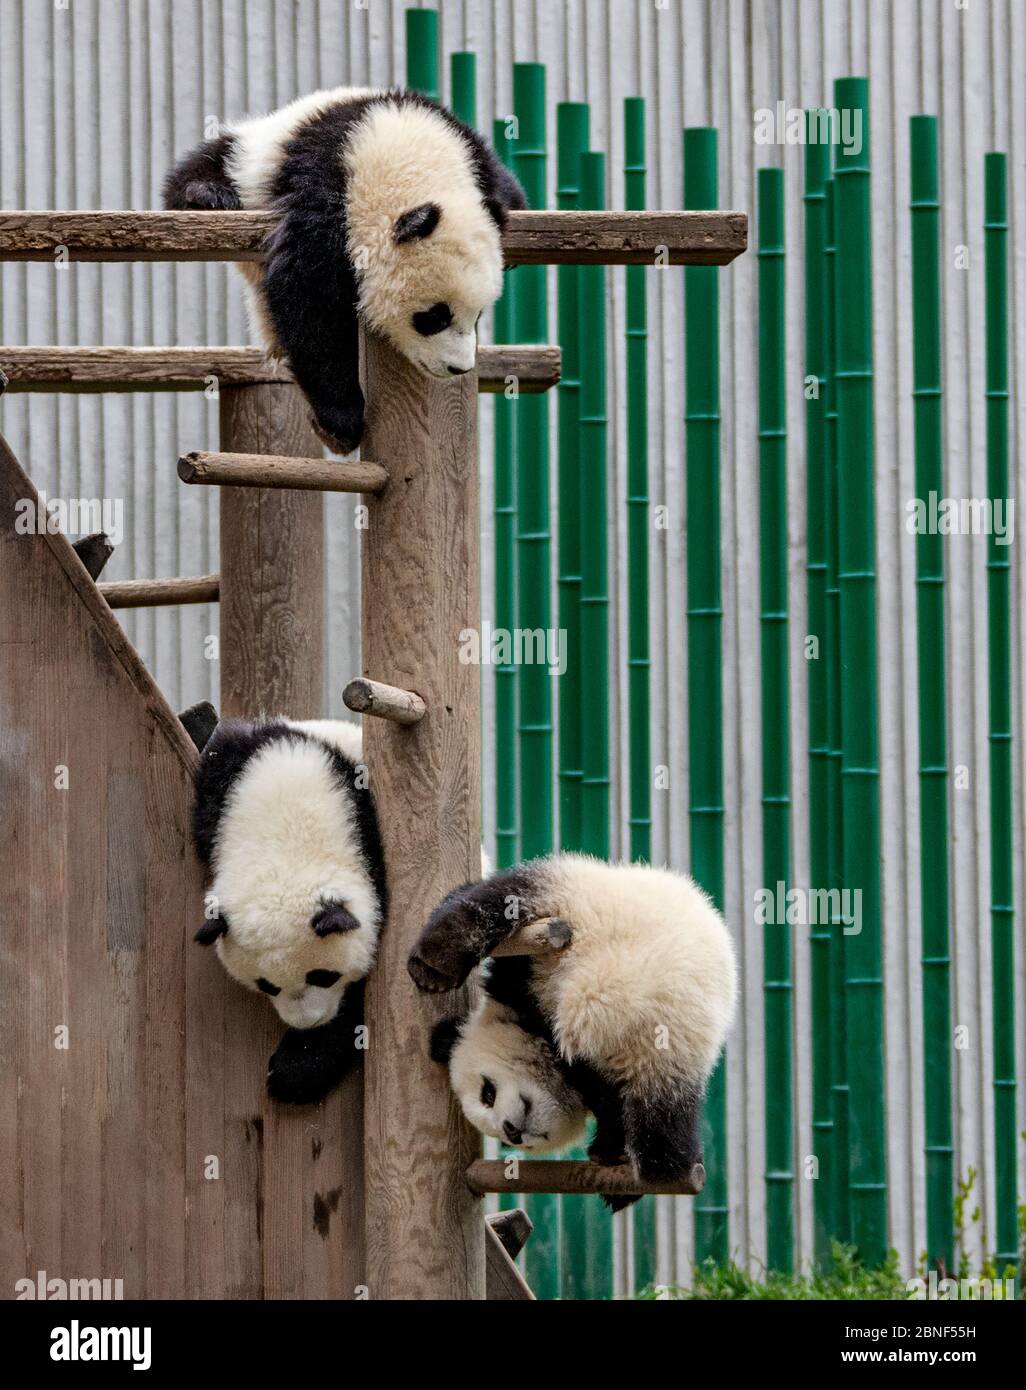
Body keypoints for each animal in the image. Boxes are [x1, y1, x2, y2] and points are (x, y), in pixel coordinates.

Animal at [164, 86, 526, 454]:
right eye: (434, 317)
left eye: (478, 315)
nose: (459, 367)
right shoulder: (327, 196)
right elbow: (310, 296)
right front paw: (341, 422)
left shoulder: (470, 149)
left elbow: (506, 190)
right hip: (257, 152)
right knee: (208, 163)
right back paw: (208, 194)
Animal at [410, 854, 737, 1209]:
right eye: (500, 1136)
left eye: (488, 1093)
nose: (512, 1132)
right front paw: (612, 1157)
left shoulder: (524, 981)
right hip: (674, 1046)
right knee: (662, 1115)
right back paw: (658, 1168)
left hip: (572, 895)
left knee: (499, 901)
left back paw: (434, 963)